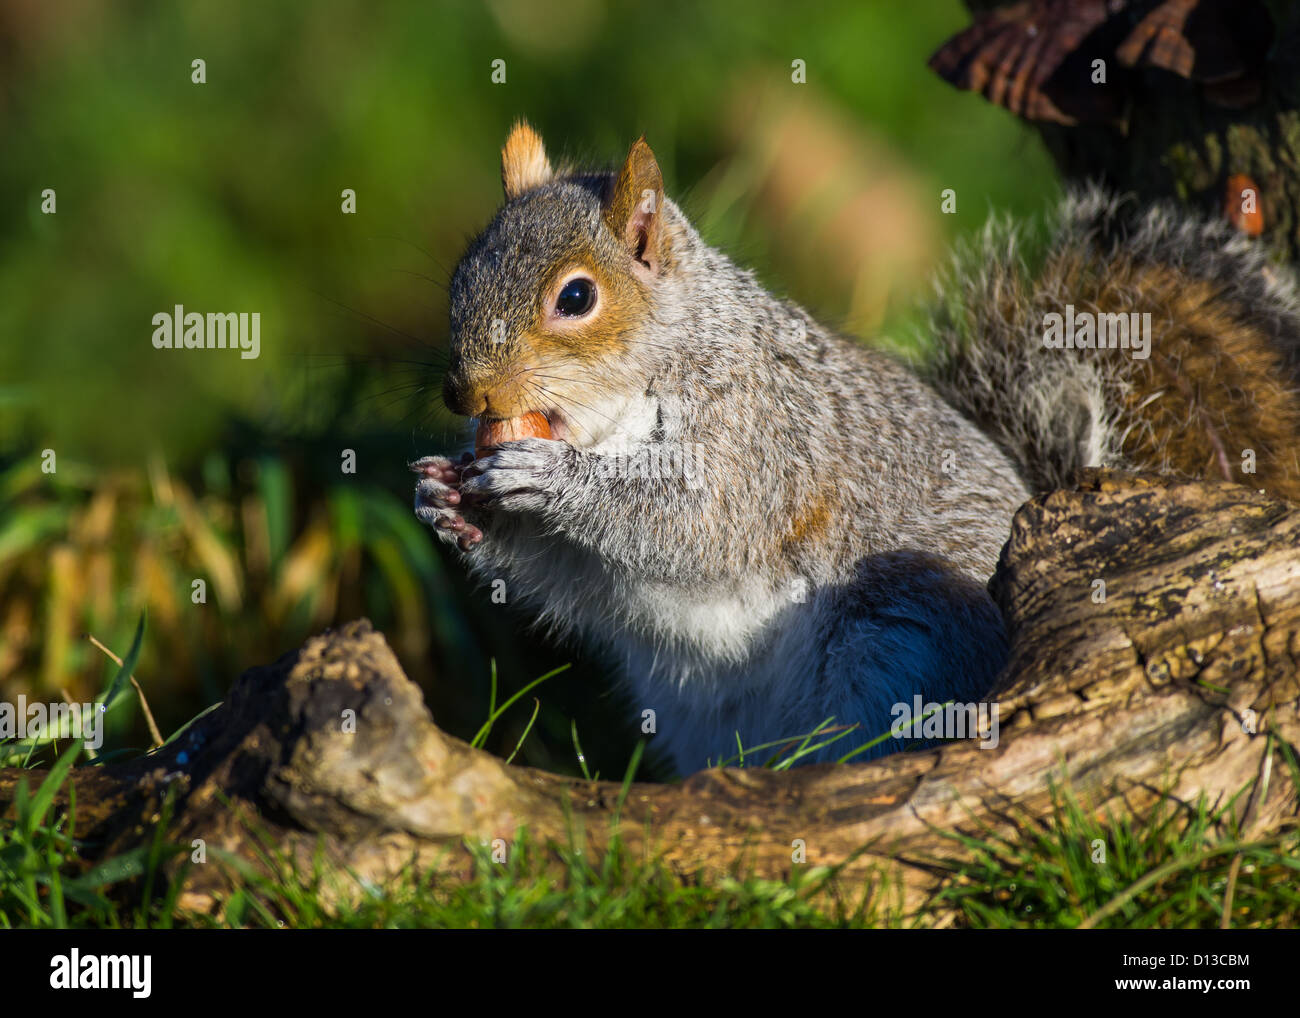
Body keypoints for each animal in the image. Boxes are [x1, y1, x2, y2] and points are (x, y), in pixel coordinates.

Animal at [412, 121, 1300, 775]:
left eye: (576, 297)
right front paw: (445, 499)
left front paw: (550, 480)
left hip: (895, 638)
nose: (467, 394)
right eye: (459, 276)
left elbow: (686, 523)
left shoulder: (758, 440)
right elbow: (575, 574)